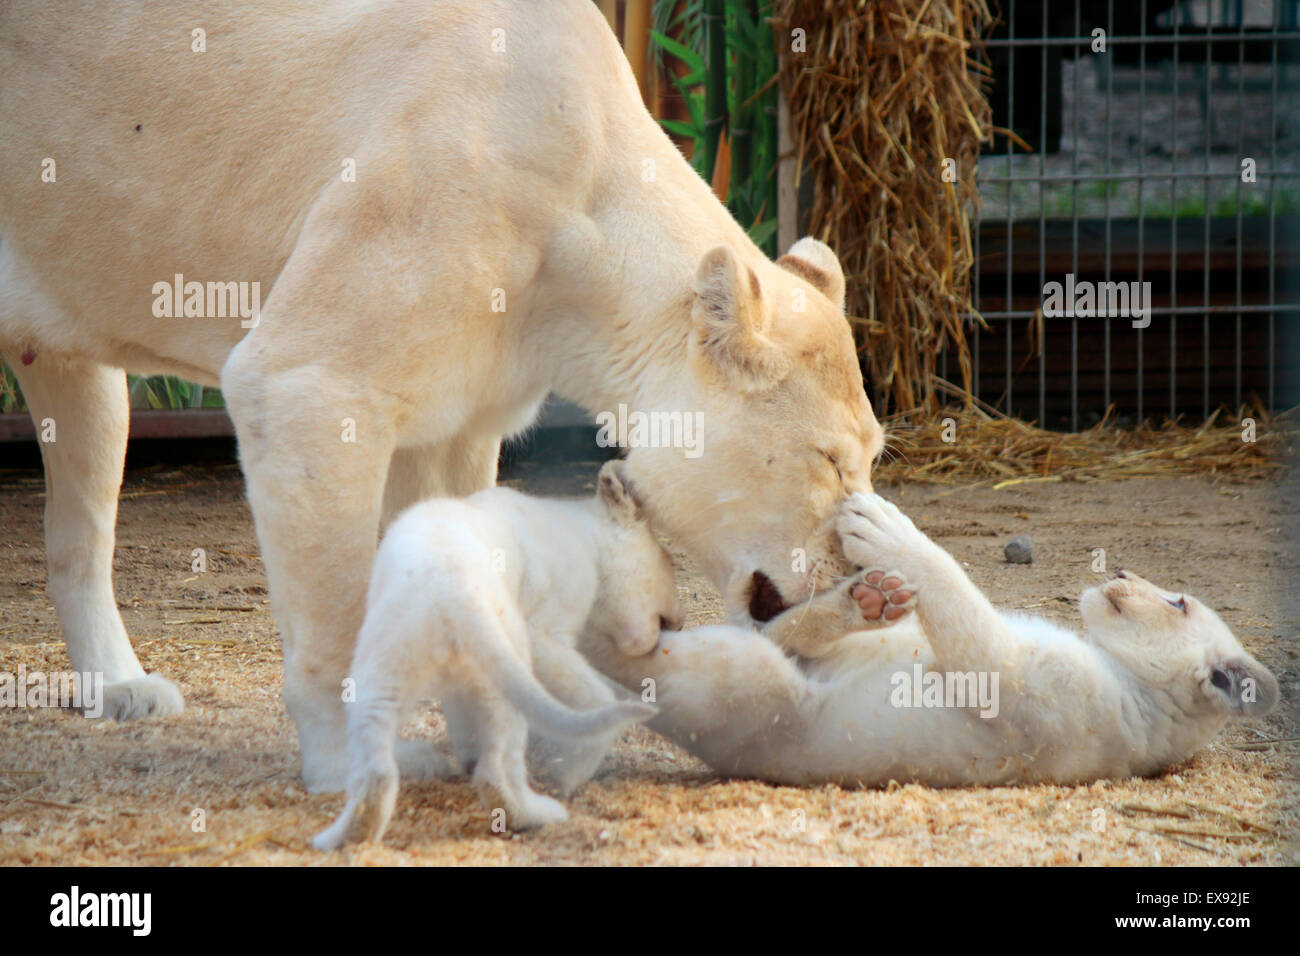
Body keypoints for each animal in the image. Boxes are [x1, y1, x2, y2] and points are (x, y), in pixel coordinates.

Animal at [0, 0, 879, 791]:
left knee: (78, 543)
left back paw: (119, 687)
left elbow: (467, 580)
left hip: (85, 377)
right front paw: (346, 767)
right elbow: (335, 612)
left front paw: (489, 747)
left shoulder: (454, 429)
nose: (860, 569)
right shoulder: (305, 383)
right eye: (834, 463)